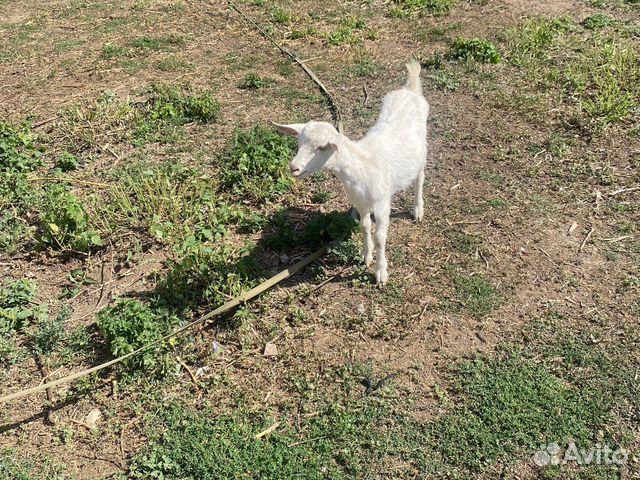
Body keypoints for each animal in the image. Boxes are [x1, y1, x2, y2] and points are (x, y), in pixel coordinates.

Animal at [274, 60, 429, 285]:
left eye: (322, 147)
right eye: (299, 142)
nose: (293, 167)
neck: (359, 167)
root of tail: (410, 90)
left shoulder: (382, 203)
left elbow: (380, 237)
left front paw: (381, 272)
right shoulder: (360, 202)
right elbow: (364, 226)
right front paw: (366, 255)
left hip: (422, 151)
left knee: (419, 178)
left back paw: (418, 209)